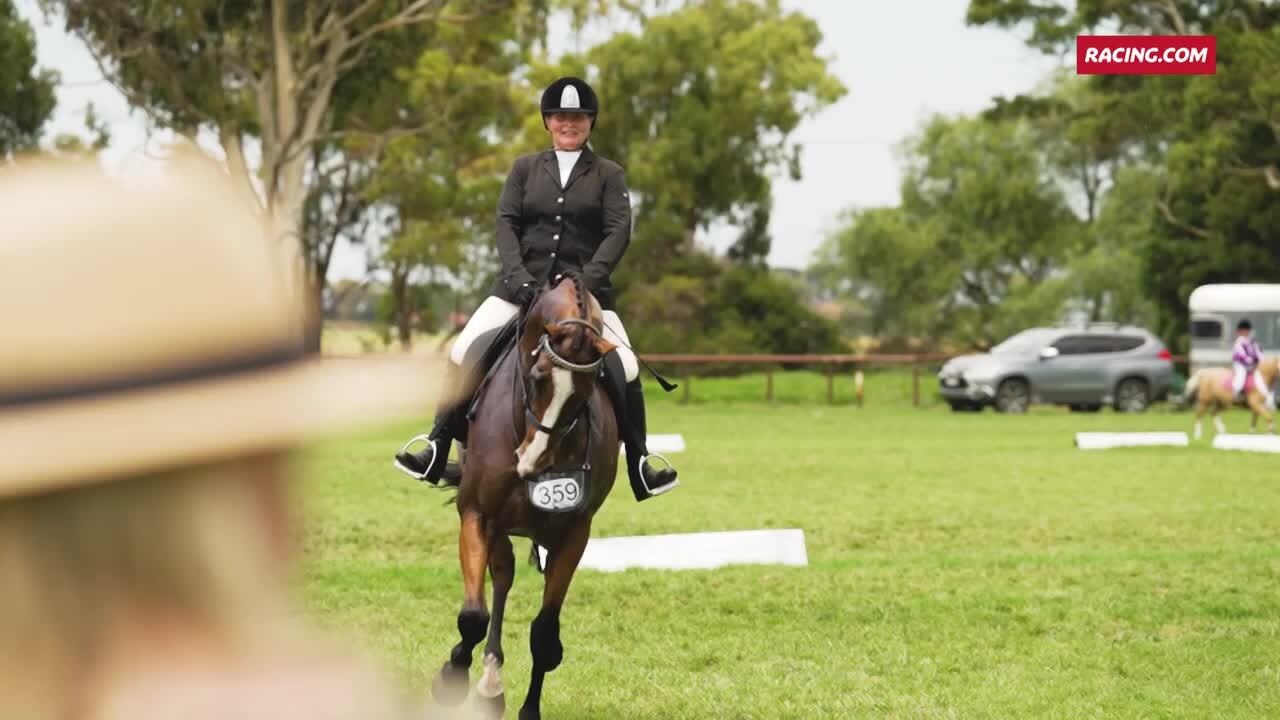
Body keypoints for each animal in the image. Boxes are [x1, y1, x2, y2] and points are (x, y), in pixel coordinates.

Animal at [429, 273, 620, 720]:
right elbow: (473, 615)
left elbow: (545, 633)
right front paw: (450, 679)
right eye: (536, 377)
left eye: (586, 393)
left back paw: (491, 685)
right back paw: (488, 682)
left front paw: (529, 709)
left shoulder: (574, 533)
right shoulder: (477, 515)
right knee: (501, 579)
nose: (533, 462)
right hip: (498, 525)